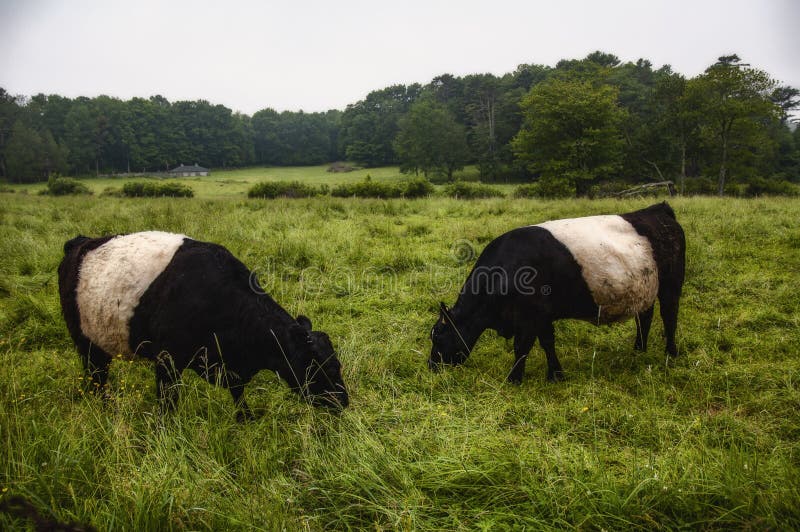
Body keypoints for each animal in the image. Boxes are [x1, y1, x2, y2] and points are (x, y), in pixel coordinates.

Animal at [58, 231, 349, 419]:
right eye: (326, 367)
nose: (343, 402)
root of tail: (80, 242)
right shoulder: (167, 360)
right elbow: (167, 403)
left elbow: (238, 394)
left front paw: (245, 420)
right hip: (85, 342)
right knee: (97, 378)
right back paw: (106, 409)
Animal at [429, 202, 685, 383]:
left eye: (439, 337)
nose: (432, 366)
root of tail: (659, 210)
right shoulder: (542, 316)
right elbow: (547, 343)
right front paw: (556, 375)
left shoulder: (530, 316)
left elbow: (522, 347)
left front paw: (514, 379)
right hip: (644, 288)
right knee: (645, 317)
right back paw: (638, 351)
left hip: (671, 286)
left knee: (669, 316)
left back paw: (670, 353)